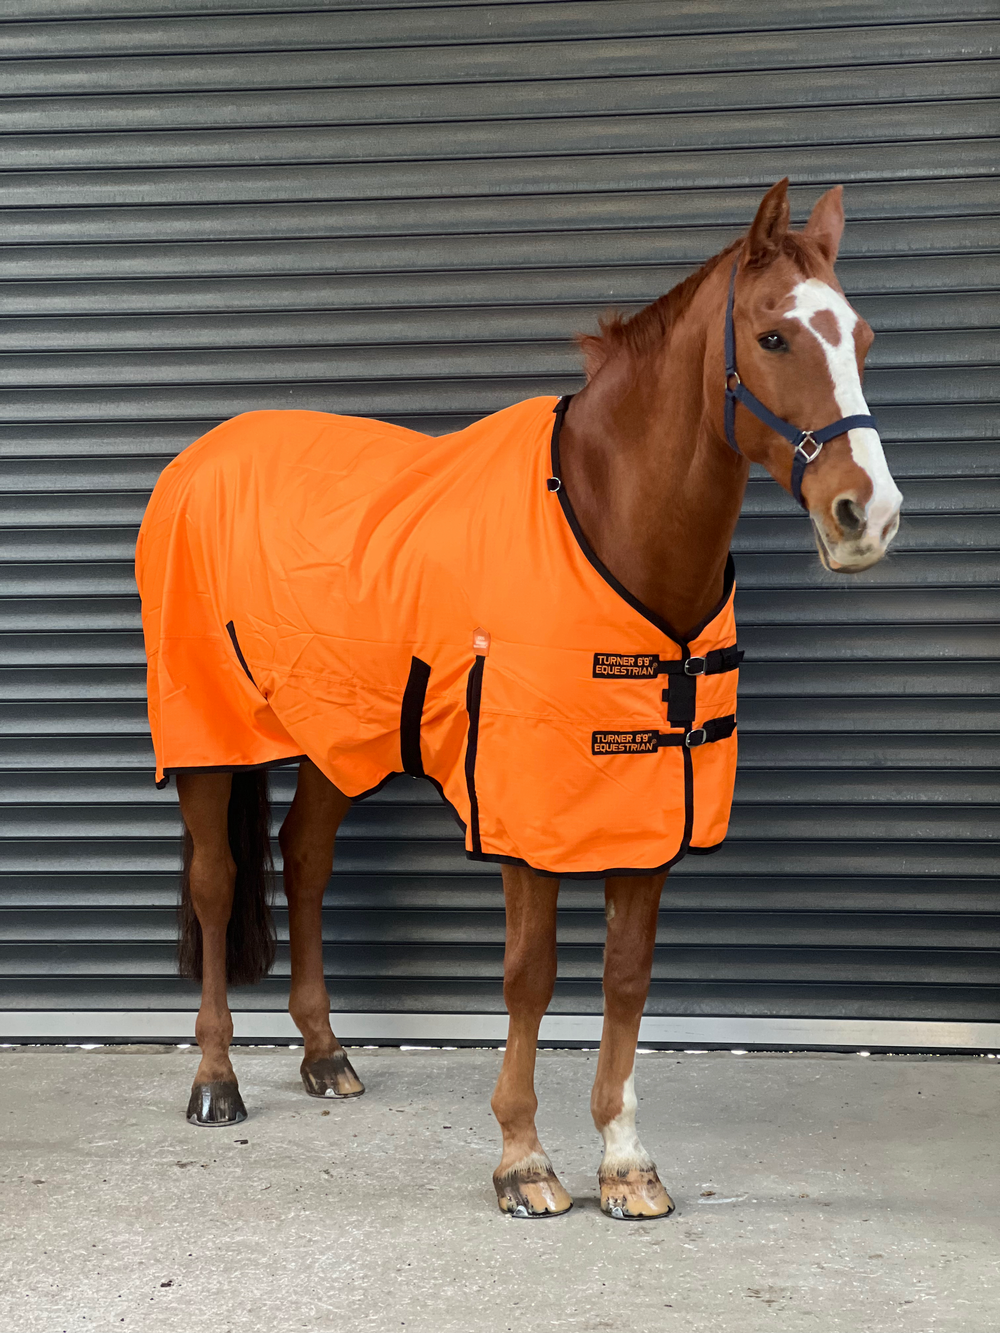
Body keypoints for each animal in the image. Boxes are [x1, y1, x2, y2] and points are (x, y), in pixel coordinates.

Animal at [136, 177, 902, 1220]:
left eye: (860, 336)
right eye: (775, 337)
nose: (870, 514)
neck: (606, 525)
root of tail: (199, 457)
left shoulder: (650, 809)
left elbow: (626, 977)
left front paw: (626, 1161)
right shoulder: (520, 811)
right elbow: (530, 979)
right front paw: (524, 1159)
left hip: (345, 734)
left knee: (305, 859)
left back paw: (327, 1054)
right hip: (208, 736)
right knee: (218, 885)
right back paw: (215, 1079)